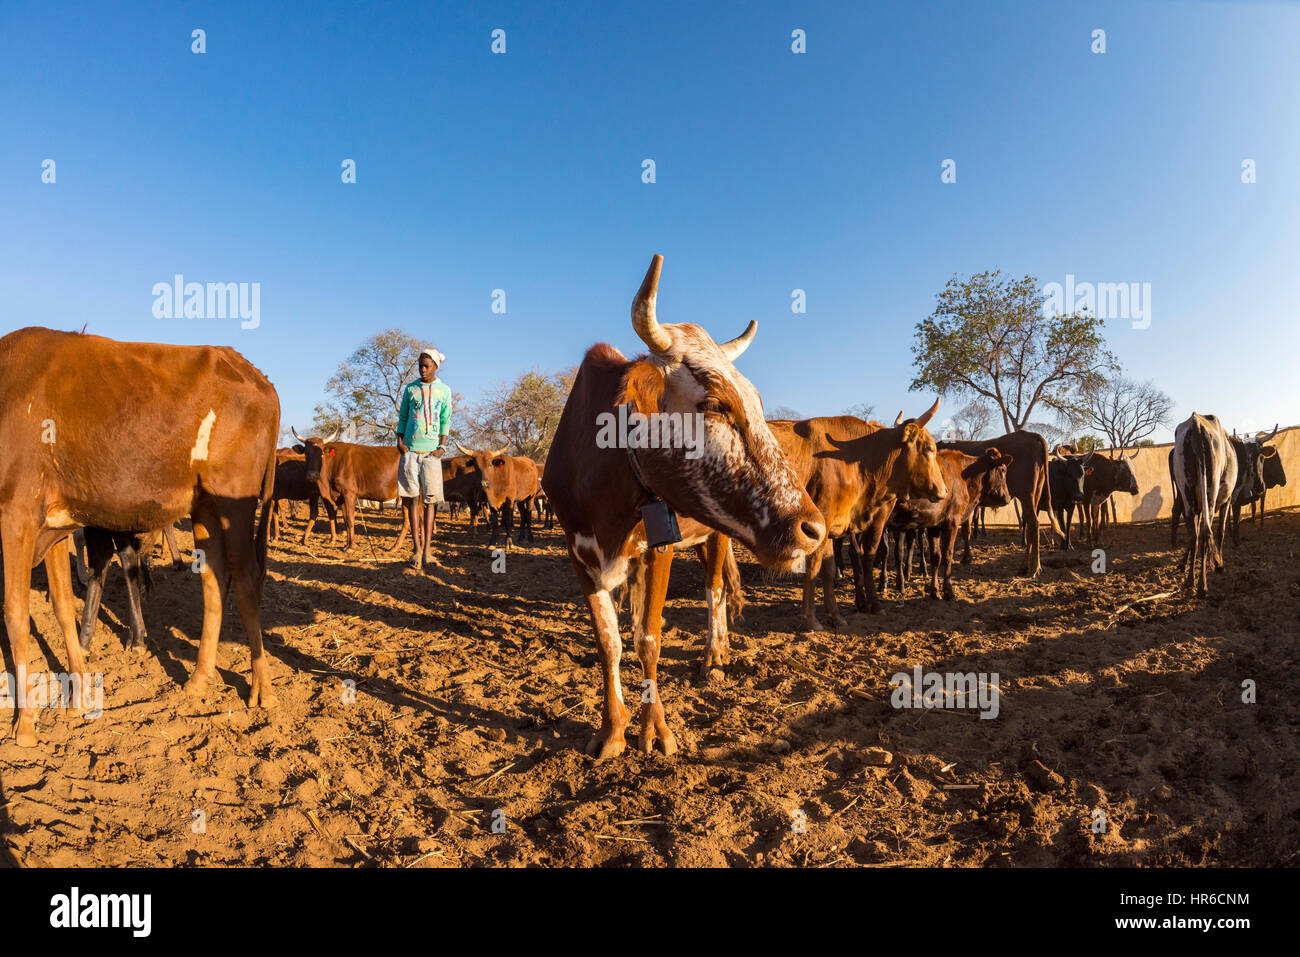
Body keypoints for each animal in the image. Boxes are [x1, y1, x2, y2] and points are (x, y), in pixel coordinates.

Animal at [0, 327, 280, 747]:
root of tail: (255, 374)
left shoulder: (15, 515)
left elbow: (16, 613)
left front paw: (26, 724)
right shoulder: (52, 526)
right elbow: (62, 607)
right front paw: (78, 697)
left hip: (235, 500)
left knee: (247, 581)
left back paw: (262, 686)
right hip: (204, 506)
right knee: (214, 583)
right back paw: (198, 679)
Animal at [541, 254, 825, 760]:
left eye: (758, 404)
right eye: (714, 404)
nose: (814, 529)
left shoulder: (660, 549)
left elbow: (648, 637)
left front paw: (654, 728)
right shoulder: (578, 553)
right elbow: (609, 641)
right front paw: (612, 729)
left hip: (717, 534)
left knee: (715, 589)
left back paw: (715, 654)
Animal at [767, 403, 948, 630]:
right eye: (929, 449)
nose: (944, 491)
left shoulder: (832, 526)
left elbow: (829, 568)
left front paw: (835, 615)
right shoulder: (820, 521)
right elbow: (815, 567)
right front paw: (811, 619)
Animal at [878, 448, 1013, 600]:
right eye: (1003, 470)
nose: (1008, 498)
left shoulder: (934, 525)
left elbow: (936, 557)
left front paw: (934, 590)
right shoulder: (952, 522)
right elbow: (948, 555)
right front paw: (948, 590)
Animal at [938, 431, 1062, 576]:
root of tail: (1031, 434)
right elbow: (966, 530)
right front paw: (967, 558)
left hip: (1027, 496)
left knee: (1034, 524)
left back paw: (1035, 567)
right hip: (1035, 495)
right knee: (1030, 526)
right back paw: (1024, 566)